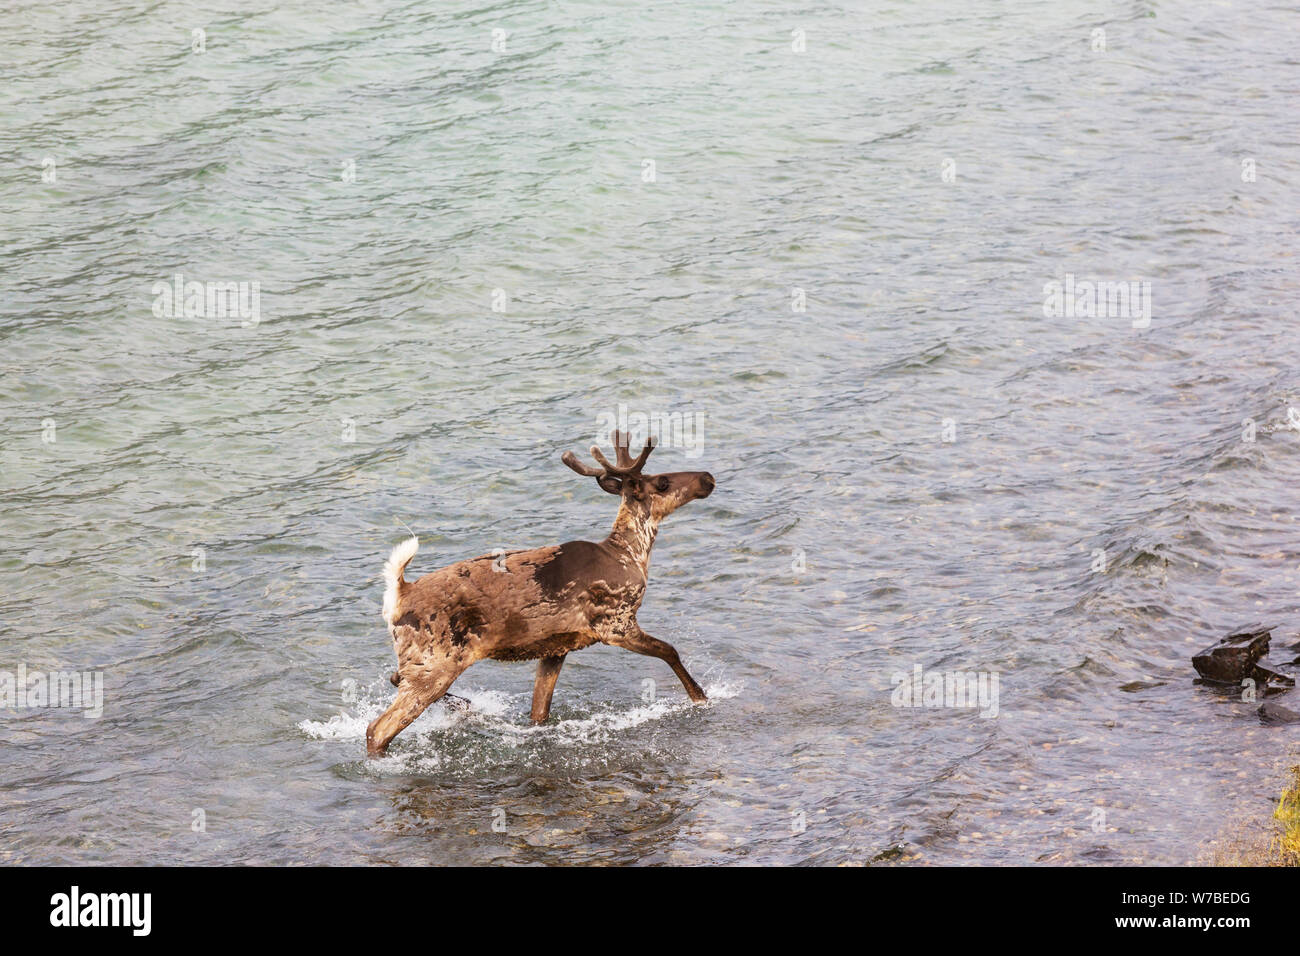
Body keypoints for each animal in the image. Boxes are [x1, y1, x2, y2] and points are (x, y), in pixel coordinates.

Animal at [366, 431, 716, 755]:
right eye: (662, 482)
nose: (707, 477)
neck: (631, 555)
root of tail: (398, 594)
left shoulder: (557, 646)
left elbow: (540, 711)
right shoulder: (615, 622)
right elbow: (670, 650)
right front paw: (700, 697)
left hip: (421, 663)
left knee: (394, 681)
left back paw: (466, 707)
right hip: (435, 662)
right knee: (378, 728)